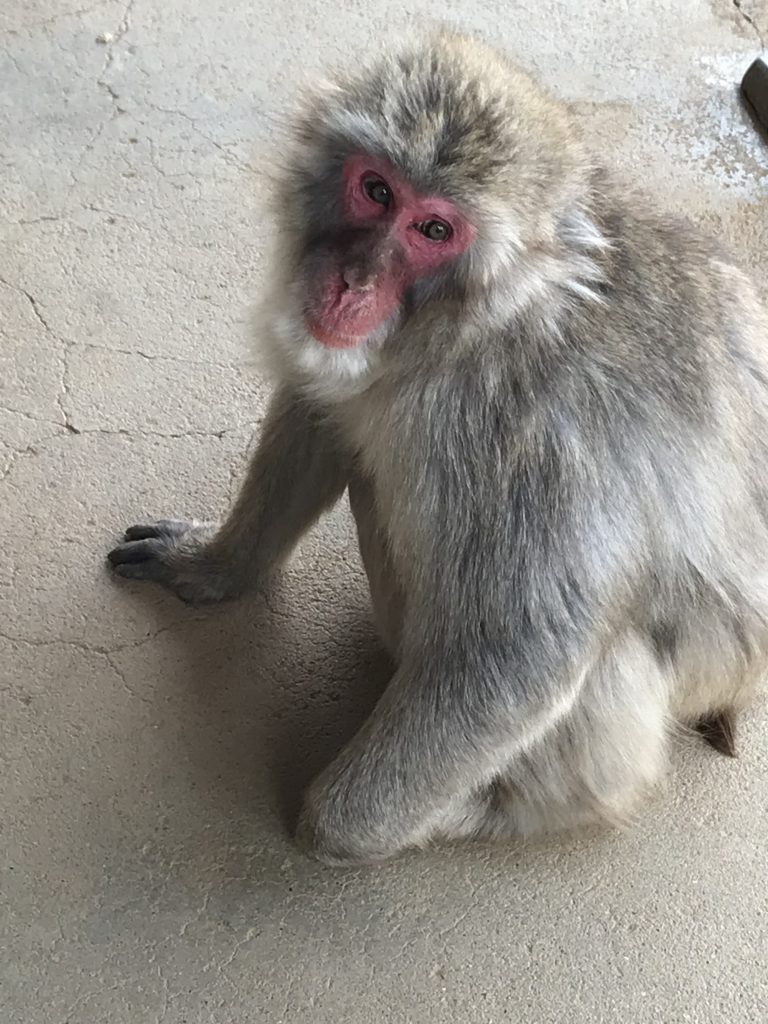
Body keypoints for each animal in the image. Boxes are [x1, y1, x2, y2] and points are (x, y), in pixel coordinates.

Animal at [107, 31, 768, 865]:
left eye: (434, 231)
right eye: (376, 191)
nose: (352, 281)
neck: (476, 326)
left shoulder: (528, 432)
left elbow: (521, 651)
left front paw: (332, 832)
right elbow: (324, 413)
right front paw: (215, 567)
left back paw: (495, 809)